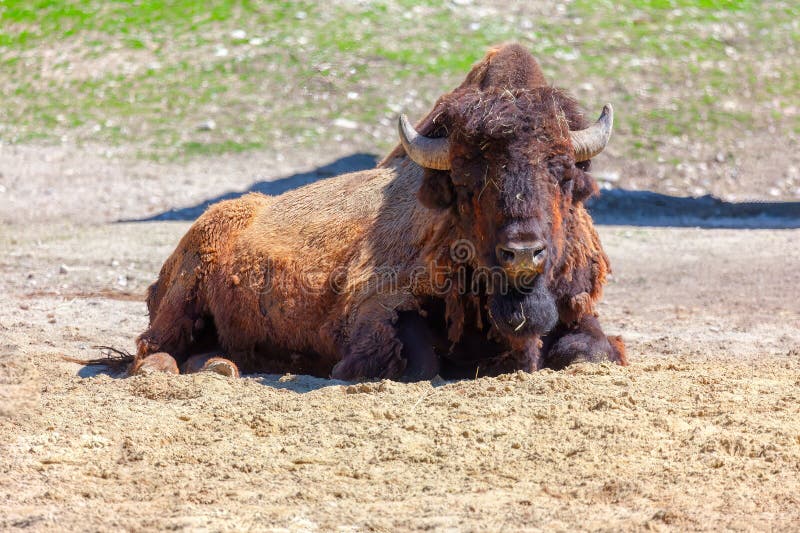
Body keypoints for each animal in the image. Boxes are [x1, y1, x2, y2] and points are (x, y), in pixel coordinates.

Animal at [131, 43, 626, 381]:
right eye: (466, 180)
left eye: (562, 173)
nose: (523, 252)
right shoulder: (375, 303)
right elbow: (417, 361)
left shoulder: (577, 307)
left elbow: (593, 350)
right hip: (185, 291)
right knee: (152, 347)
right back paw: (176, 369)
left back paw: (220, 365)